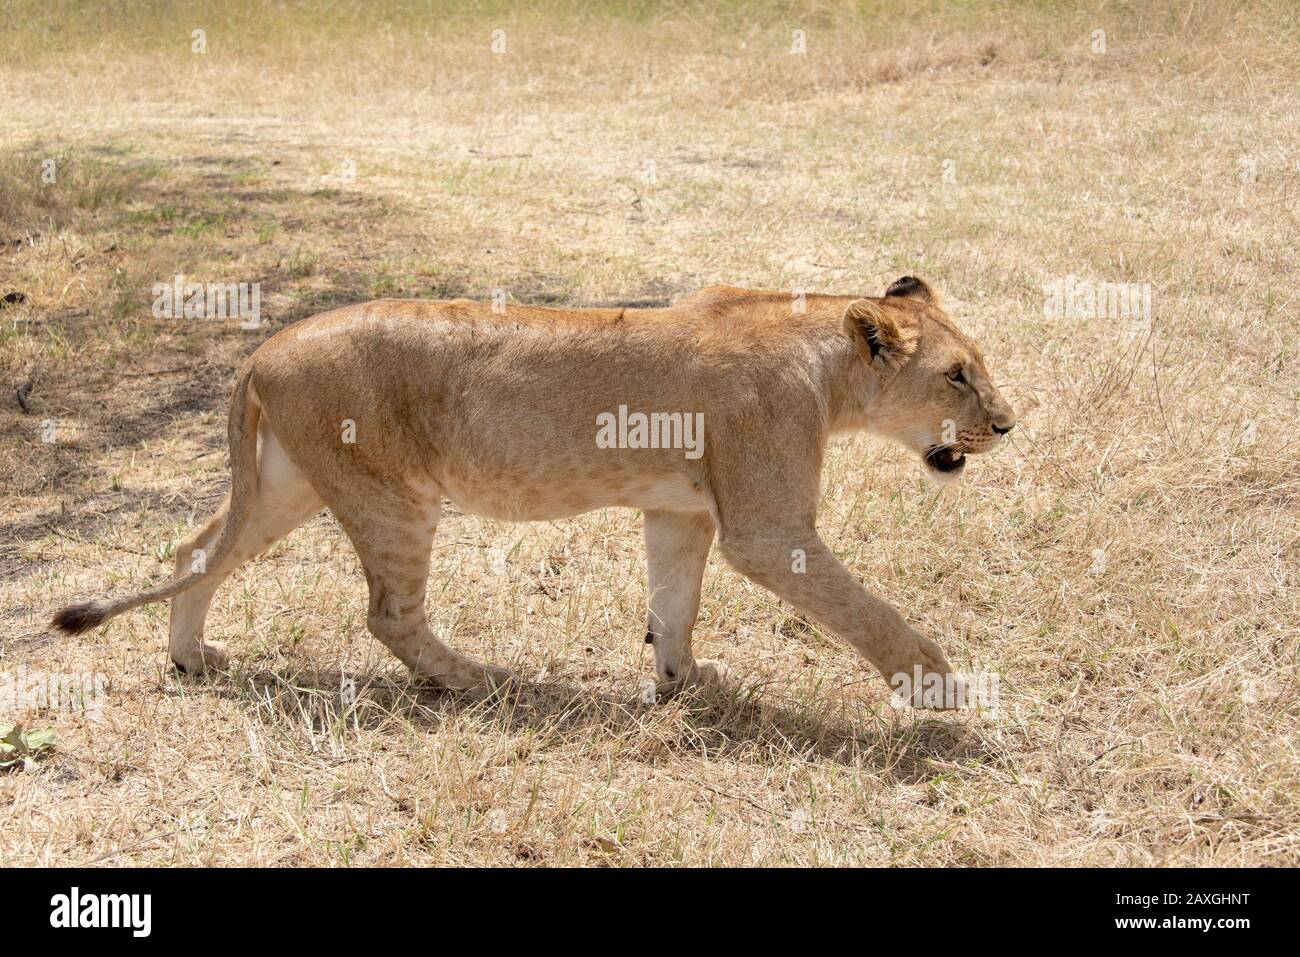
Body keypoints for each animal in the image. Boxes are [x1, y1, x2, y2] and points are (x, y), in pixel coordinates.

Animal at [52, 275, 1015, 707]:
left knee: (194, 551)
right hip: (392, 497)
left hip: (289, 482)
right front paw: (939, 688)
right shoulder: (767, 529)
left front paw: (682, 680)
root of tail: (262, 347)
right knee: (388, 615)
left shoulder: (679, 512)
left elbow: (675, 603)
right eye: (958, 376)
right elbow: (866, 611)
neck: (826, 365)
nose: (1005, 424)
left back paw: (192, 659)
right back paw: (479, 679)